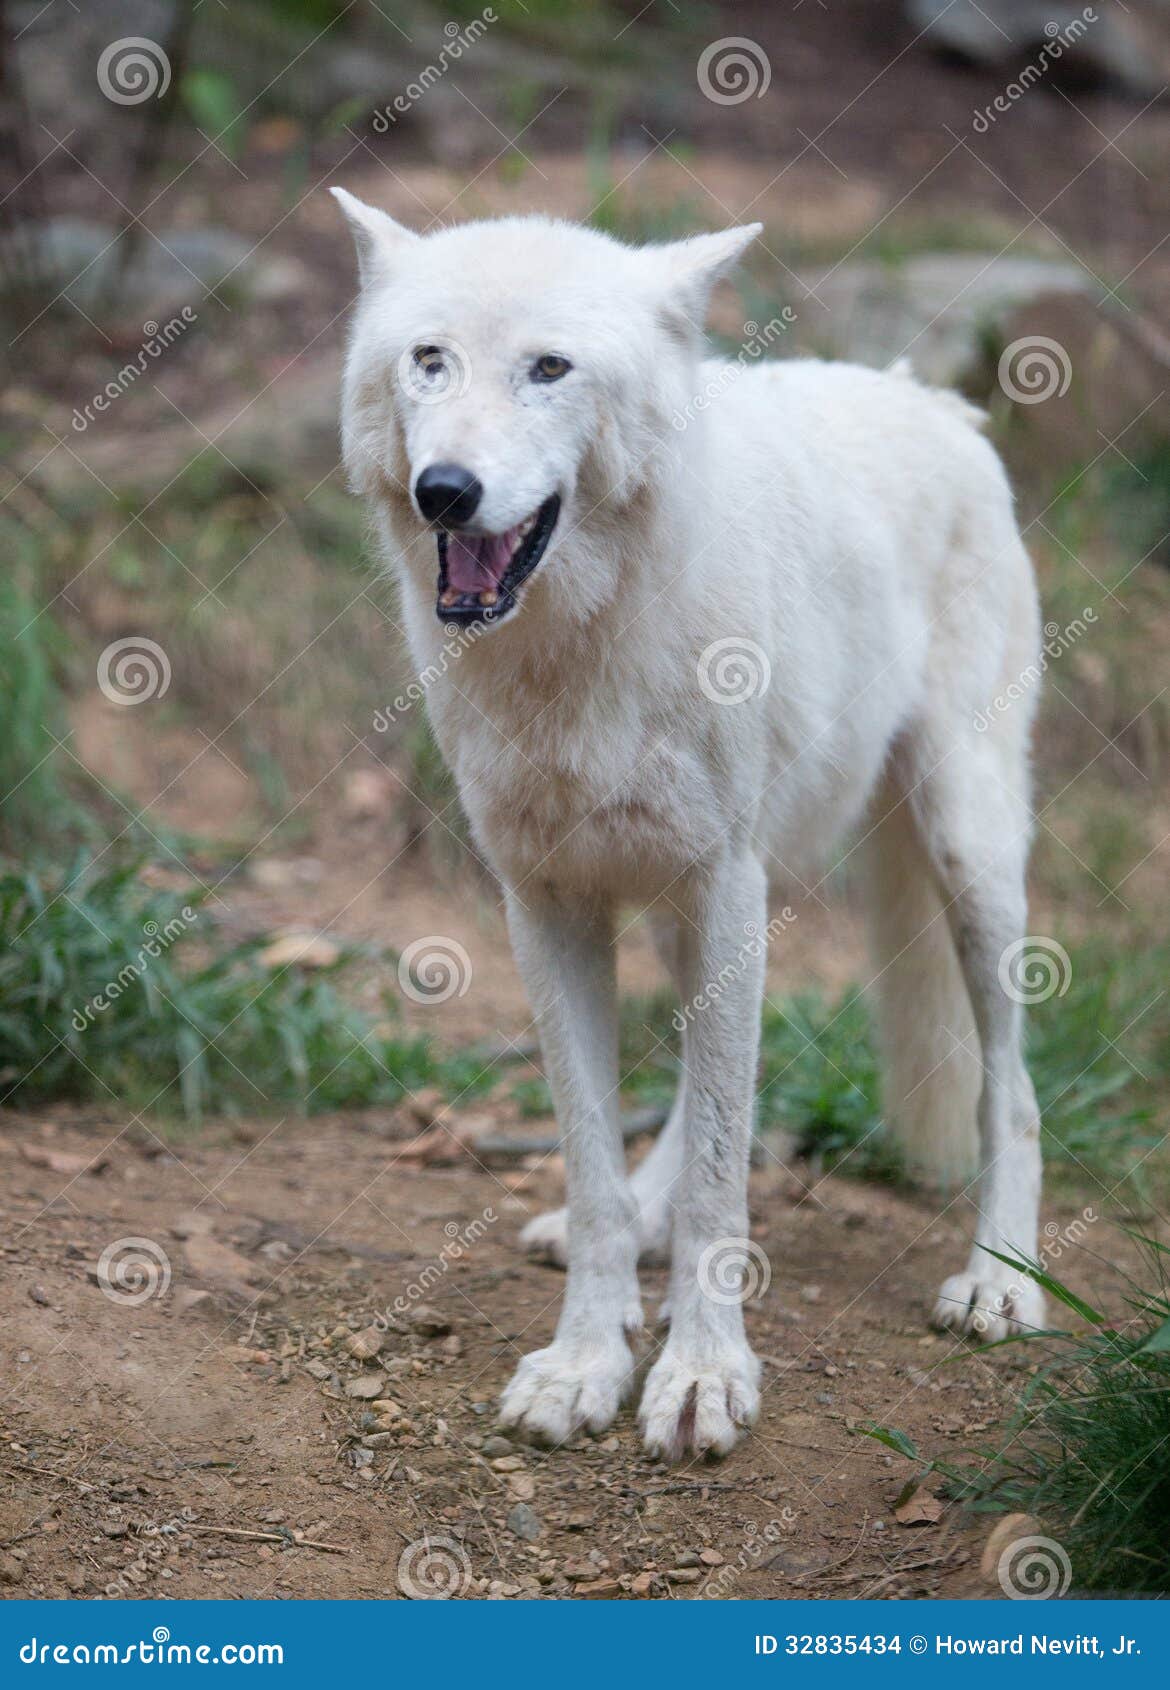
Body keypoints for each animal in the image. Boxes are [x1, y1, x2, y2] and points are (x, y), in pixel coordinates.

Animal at [332, 188, 1046, 1461]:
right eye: (429, 359)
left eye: (549, 368)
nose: (446, 490)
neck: (571, 654)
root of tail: (933, 396)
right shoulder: (547, 902)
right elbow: (596, 1151)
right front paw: (585, 1360)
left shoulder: (724, 883)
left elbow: (724, 1172)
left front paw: (702, 1376)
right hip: (683, 903)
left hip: (964, 852)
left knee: (1012, 1090)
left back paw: (1002, 1279)